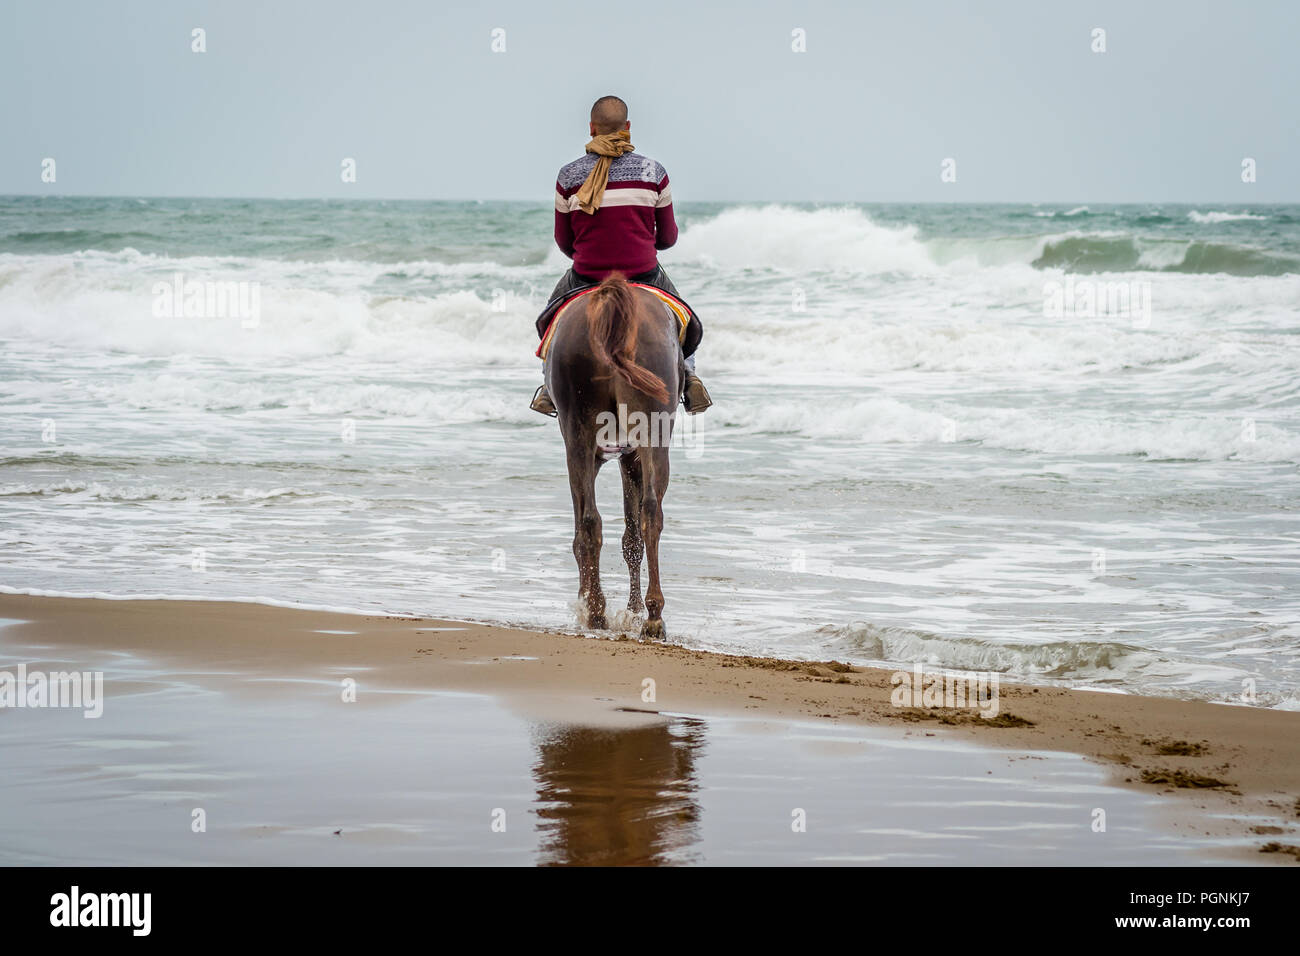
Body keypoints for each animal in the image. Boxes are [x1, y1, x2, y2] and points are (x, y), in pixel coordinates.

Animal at [543, 273, 683, 640]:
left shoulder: (606, 455)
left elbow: (598, 533)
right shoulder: (630, 456)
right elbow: (631, 536)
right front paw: (633, 611)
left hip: (579, 433)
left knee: (591, 522)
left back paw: (598, 611)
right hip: (649, 430)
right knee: (649, 511)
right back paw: (649, 615)